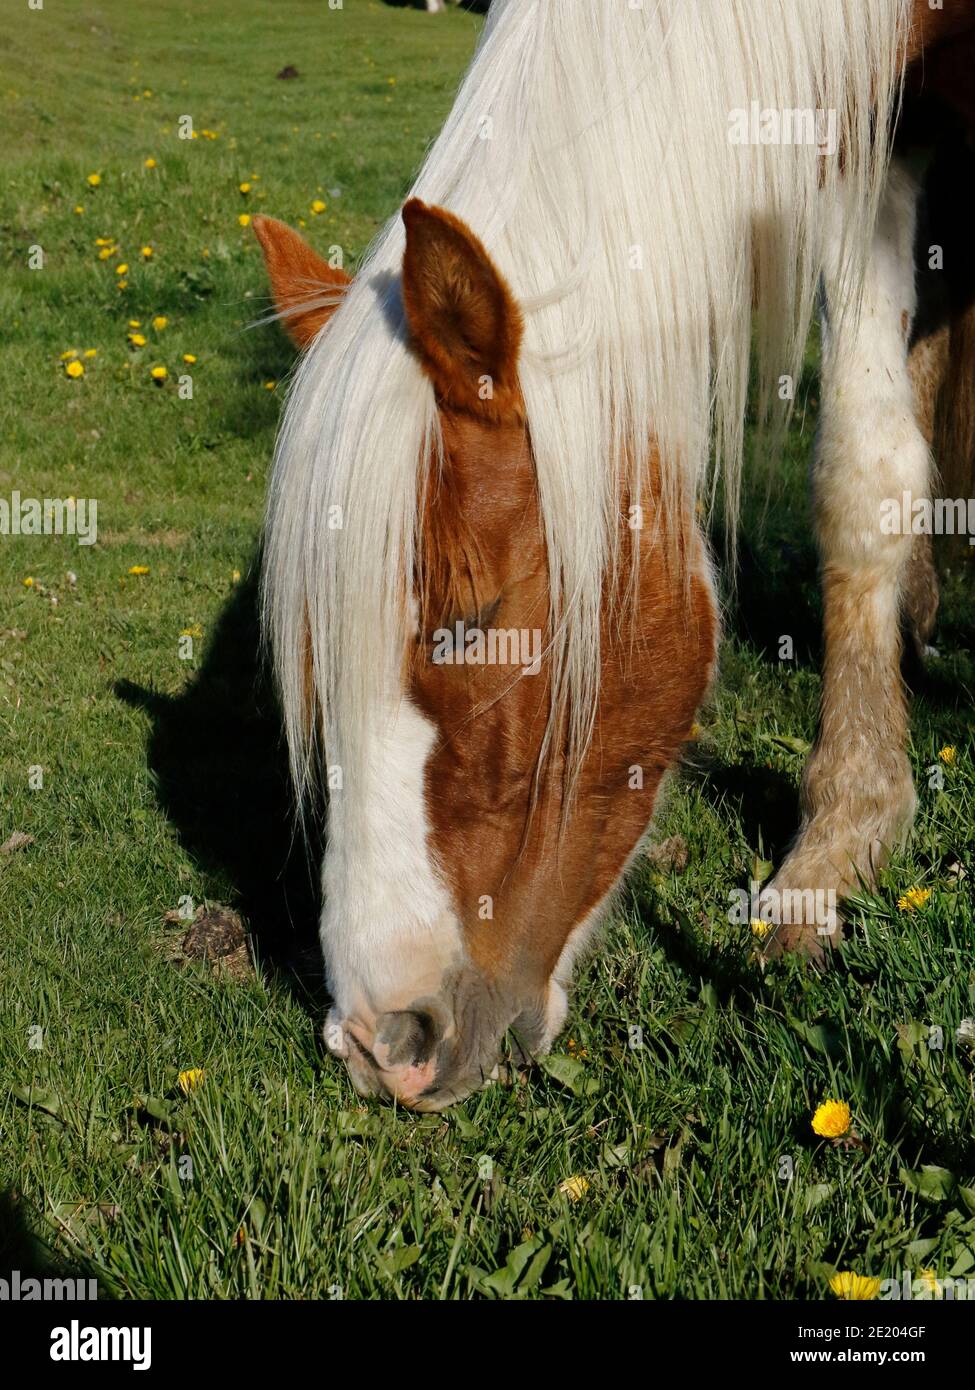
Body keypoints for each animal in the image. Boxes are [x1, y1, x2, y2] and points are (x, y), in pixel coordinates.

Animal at [254, 0, 975, 1110]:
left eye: (473, 620)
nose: (384, 1038)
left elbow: (864, 464)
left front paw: (833, 844)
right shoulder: (871, 119)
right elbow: (872, 451)